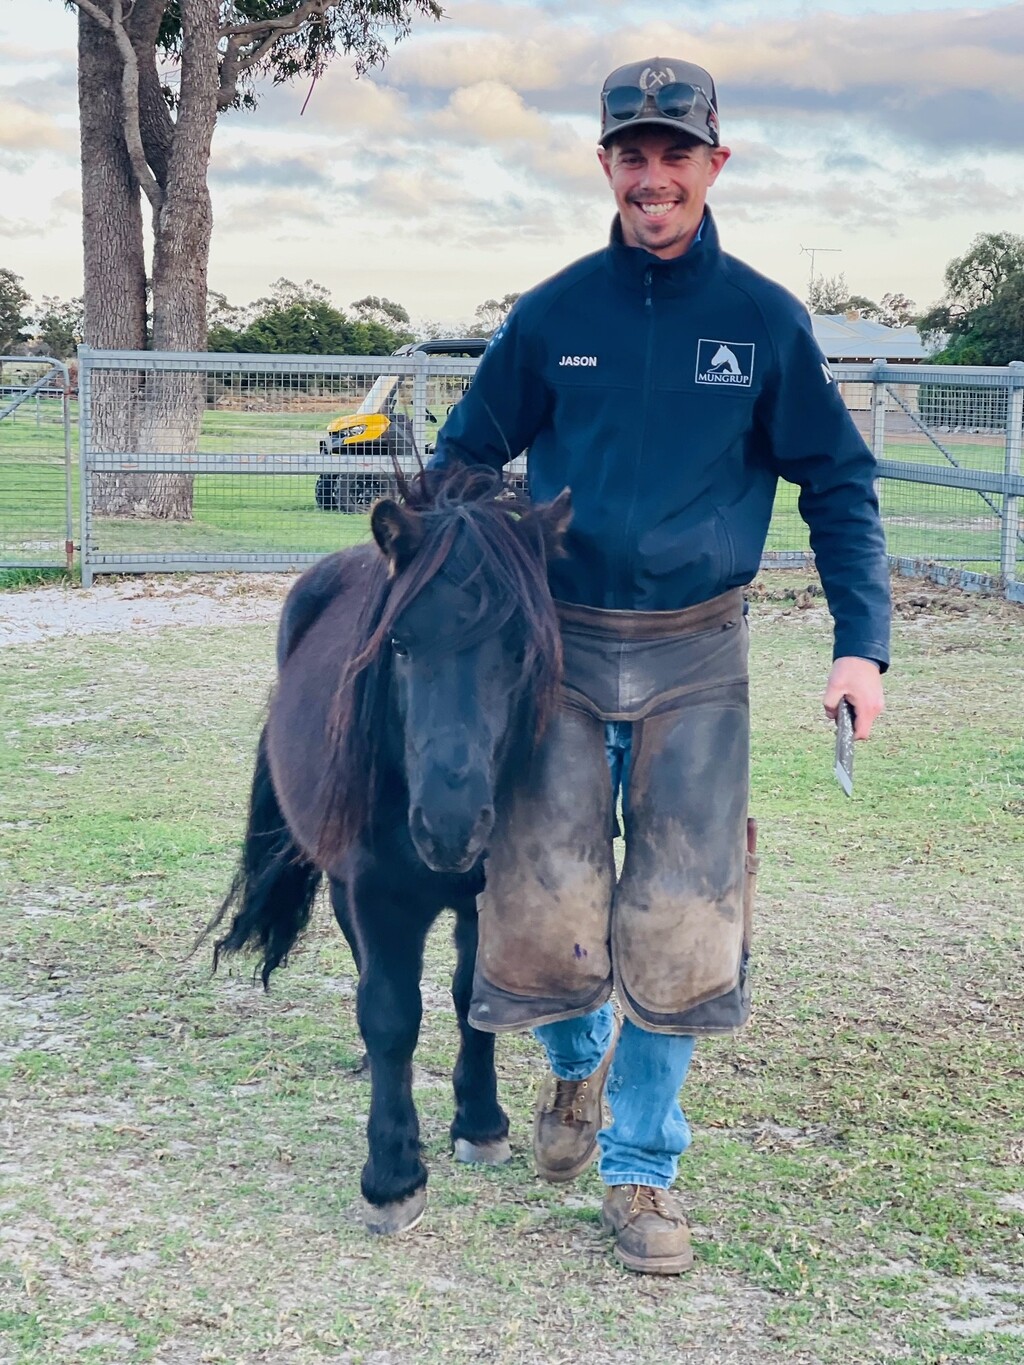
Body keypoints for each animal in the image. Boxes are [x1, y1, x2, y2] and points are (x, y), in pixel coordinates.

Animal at [206, 464, 572, 1235]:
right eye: (398, 644)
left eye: (522, 649)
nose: (450, 825)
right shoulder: (376, 895)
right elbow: (391, 1013)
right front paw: (393, 1172)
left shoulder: (487, 898)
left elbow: (470, 998)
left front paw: (481, 1120)